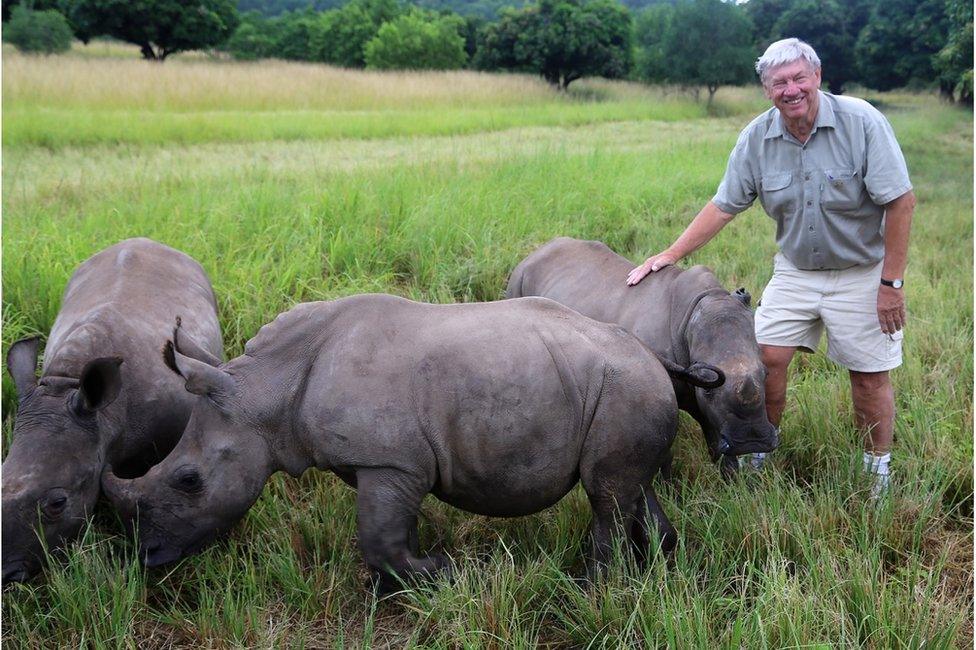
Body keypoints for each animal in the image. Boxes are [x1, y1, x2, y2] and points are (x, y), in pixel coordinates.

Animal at [102, 294, 723, 591]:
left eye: (189, 481)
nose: (146, 557)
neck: (265, 393)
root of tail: (656, 357)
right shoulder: (385, 465)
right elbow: (391, 532)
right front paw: (403, 585)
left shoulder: (390, 462)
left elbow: (380, 540)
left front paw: (445, 573)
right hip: (627, 388)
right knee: (630, 485)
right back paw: (656, 568)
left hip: (622, 386)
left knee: (606, 493)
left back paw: (588, 586)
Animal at [507, 237, 779, 475]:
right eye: (708, 389)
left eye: (766, 374)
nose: (752, 442)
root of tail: (535, 252)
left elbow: (715, 438)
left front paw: (732, 483)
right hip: (516, 282)